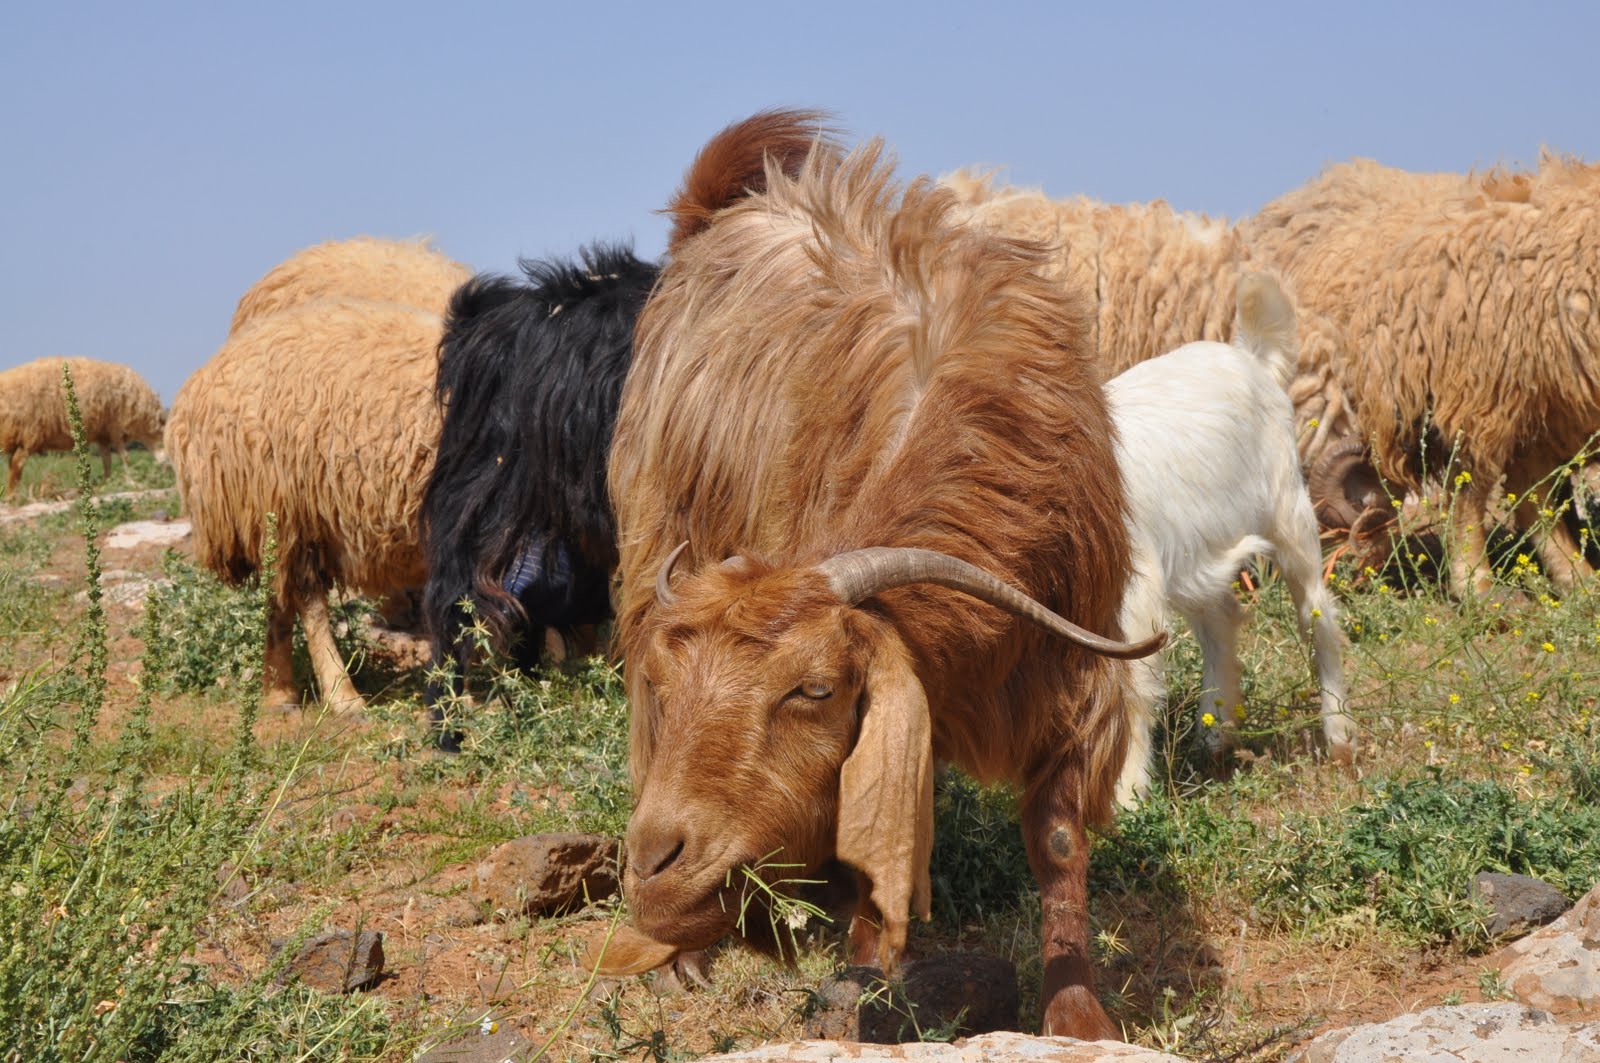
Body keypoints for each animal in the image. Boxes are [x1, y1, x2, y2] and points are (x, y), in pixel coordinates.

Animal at [1, 357, 164, 498]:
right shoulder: (115, 427)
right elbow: (125, 457)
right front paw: (131, 482)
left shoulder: (103, 434)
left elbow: (107, 459)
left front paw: (107, 481)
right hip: (30, 433)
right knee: (17, 463)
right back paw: (12, 496)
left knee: (12, 463)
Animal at [603, 111, 1164, 1040]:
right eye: (670, 684)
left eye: (813, 690)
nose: (654, 863)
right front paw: (862, 980)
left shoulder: (1075, 669)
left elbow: (1054, 839)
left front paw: (1077, 1014)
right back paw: (685, 956)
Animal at [1110, 274, 1354, 806]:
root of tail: (1250, 354)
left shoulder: (1132, 592)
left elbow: (1129, 687)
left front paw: (1126, 797)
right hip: (1197, 555)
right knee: (1220, 621)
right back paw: (1216, 736)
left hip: (1290, 513)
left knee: (1318, 614)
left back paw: (1339, 736)